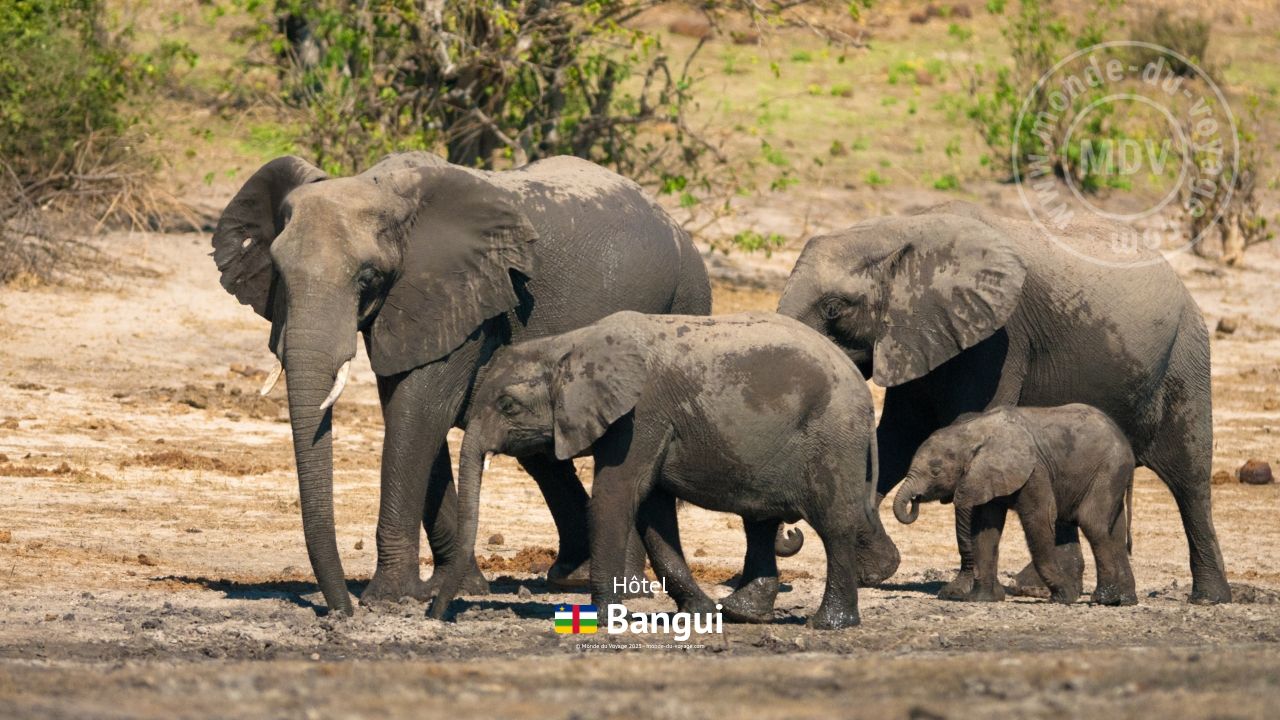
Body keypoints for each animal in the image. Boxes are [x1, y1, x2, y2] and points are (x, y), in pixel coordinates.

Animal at [209, 149, 711, 609]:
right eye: (278, 273)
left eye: (367, 277)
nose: (341, 610)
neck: (382, 189)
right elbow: (408, 413)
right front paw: (457, 587)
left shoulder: (462, 296)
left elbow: (417, 412)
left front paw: (387, 599)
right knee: (543, 455)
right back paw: (572, 577)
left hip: (684, 297)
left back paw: (625, 587)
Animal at [424, 308, 896, 627]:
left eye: (508, 405)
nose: (438, 613)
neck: (568, 344)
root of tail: (859, 382)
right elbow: (653, 512)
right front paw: (699, 613)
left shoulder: (641, 413)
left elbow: (616, 497)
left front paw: (605, 618)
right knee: (759, 522)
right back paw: (739, 615)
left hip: (833, 434)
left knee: (834, 525)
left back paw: (828, 624)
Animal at [896, 404, 1136, 604]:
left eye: (935, 471)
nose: (915, 500)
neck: (973, 432)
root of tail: (1127, 446)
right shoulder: (985, 475)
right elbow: (985, 529)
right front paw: (983, 599)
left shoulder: (1034, 470)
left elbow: (1039, 520)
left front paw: (1063, 598)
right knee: (1115, 531)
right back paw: (1124, 600)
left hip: (1107, 470)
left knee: (1092, 524)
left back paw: (1103, 599)